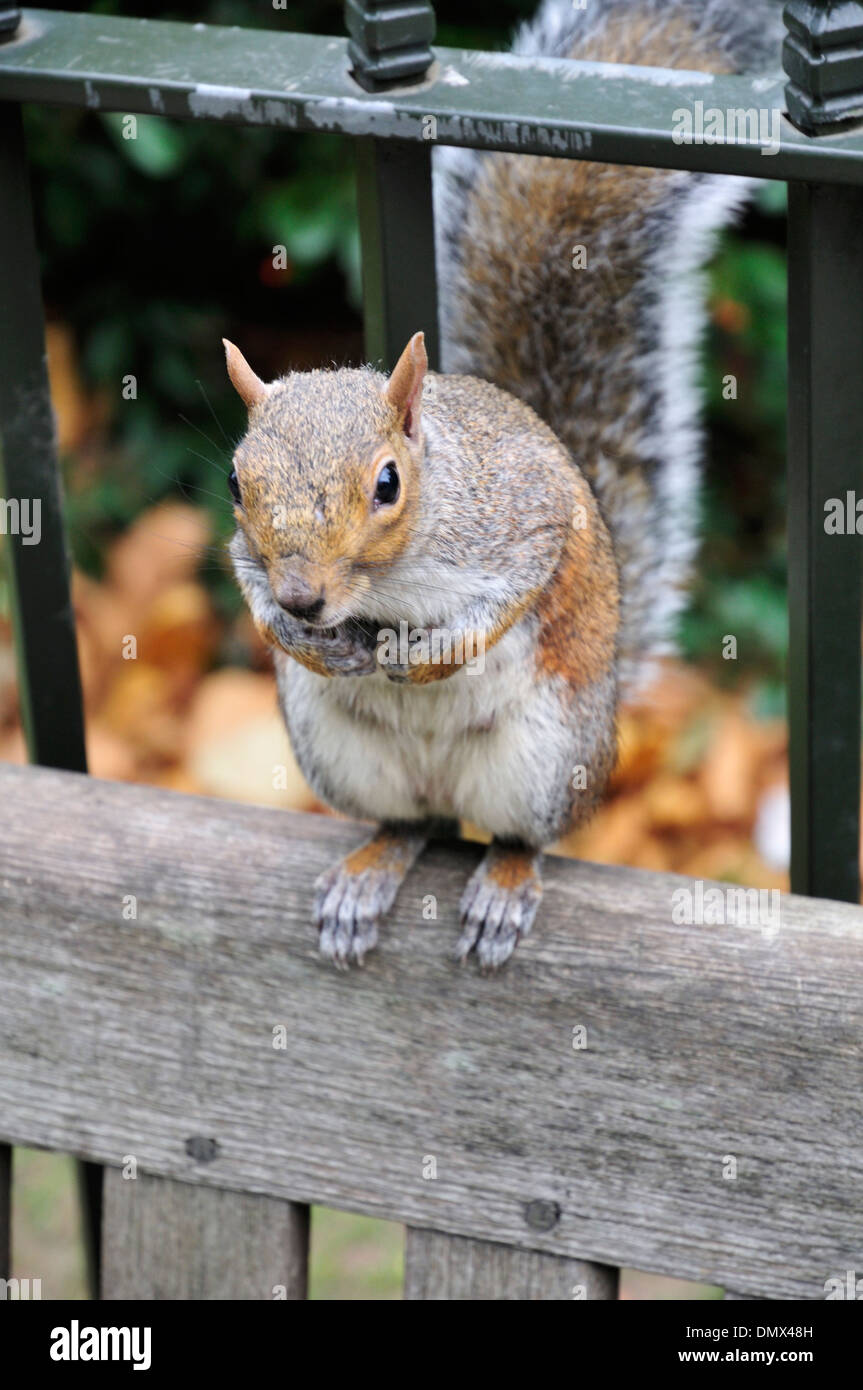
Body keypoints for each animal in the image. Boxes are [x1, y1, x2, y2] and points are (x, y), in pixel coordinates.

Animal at [224, 0, 782, 969]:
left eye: (386, 484)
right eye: (233, 483)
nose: (303, 602)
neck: (389, 581)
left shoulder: (524, 521)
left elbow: (510, 594)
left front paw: (426, 654)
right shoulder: (248, 551)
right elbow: (241, 573)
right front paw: (291, 635)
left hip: (545, 758)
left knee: (524, 835)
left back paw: (504, 887)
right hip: (349, 758)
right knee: (407, 825)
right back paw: (369, 873)